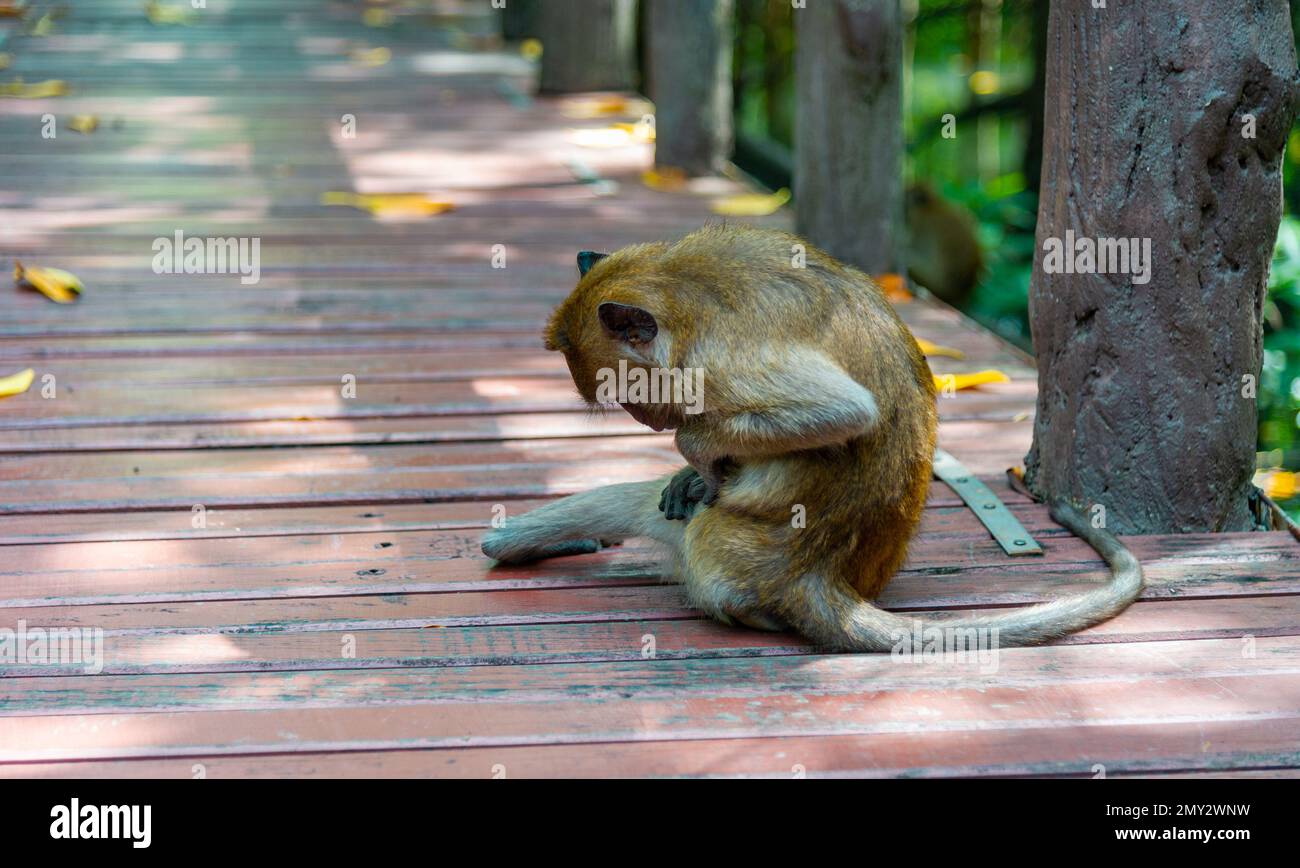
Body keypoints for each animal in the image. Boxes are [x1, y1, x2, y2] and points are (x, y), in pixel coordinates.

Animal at [481, 224, 1143, 651]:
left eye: (627, 395)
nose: (650, 422)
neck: (682, 287)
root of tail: (813, 575)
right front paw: (691, 471)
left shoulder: (726, 357)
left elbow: (844, 411)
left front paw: (695, 452)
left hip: (720, 547)